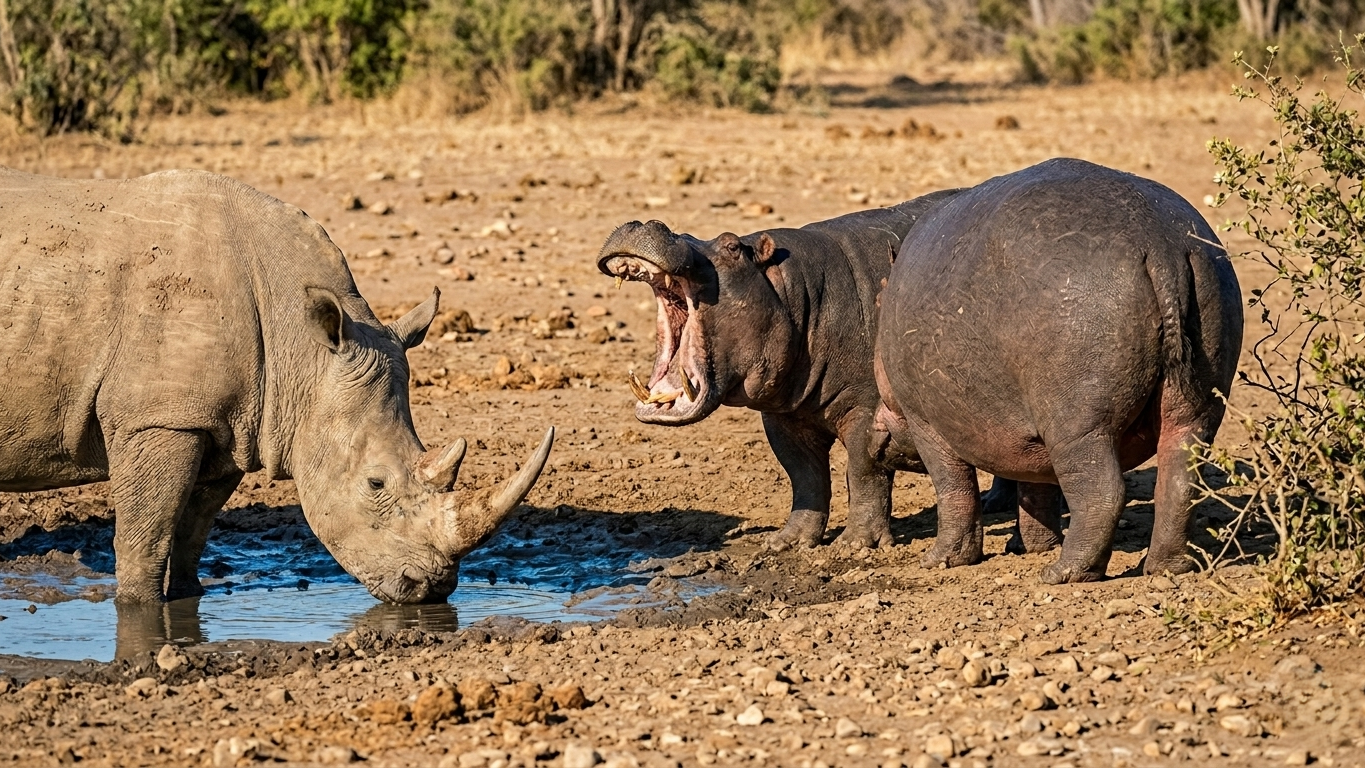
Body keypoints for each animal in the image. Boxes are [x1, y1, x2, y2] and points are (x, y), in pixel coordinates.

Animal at [0, 167, 554, 604]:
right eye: (375, 484)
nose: (432, 587)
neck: (304, 351)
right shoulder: (159, 417)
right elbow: (146, 535)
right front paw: (140, 608)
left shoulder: (226, 421)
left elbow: (192, 529)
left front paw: (189, 597)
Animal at [596, 197, 1018, 552]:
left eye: (731, 245)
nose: (646, 222)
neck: (792, 290)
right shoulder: (782, 416)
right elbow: (804, 475)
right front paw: (787, 543)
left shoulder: (865, 406)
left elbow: (862, 470)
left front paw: (855, 545)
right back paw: (994, 503)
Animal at [874, 158, 1242, 582]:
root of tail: (1160, 243)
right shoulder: (1027, 436)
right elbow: (1037, 488)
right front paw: (1028, 547)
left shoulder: (926, 422)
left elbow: (954, 487)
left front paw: (941, 560)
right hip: (1196, 400)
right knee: (1181, 476)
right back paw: (1167, 567)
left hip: (1079, 422)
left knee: (1102, 490)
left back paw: (1063, 573)